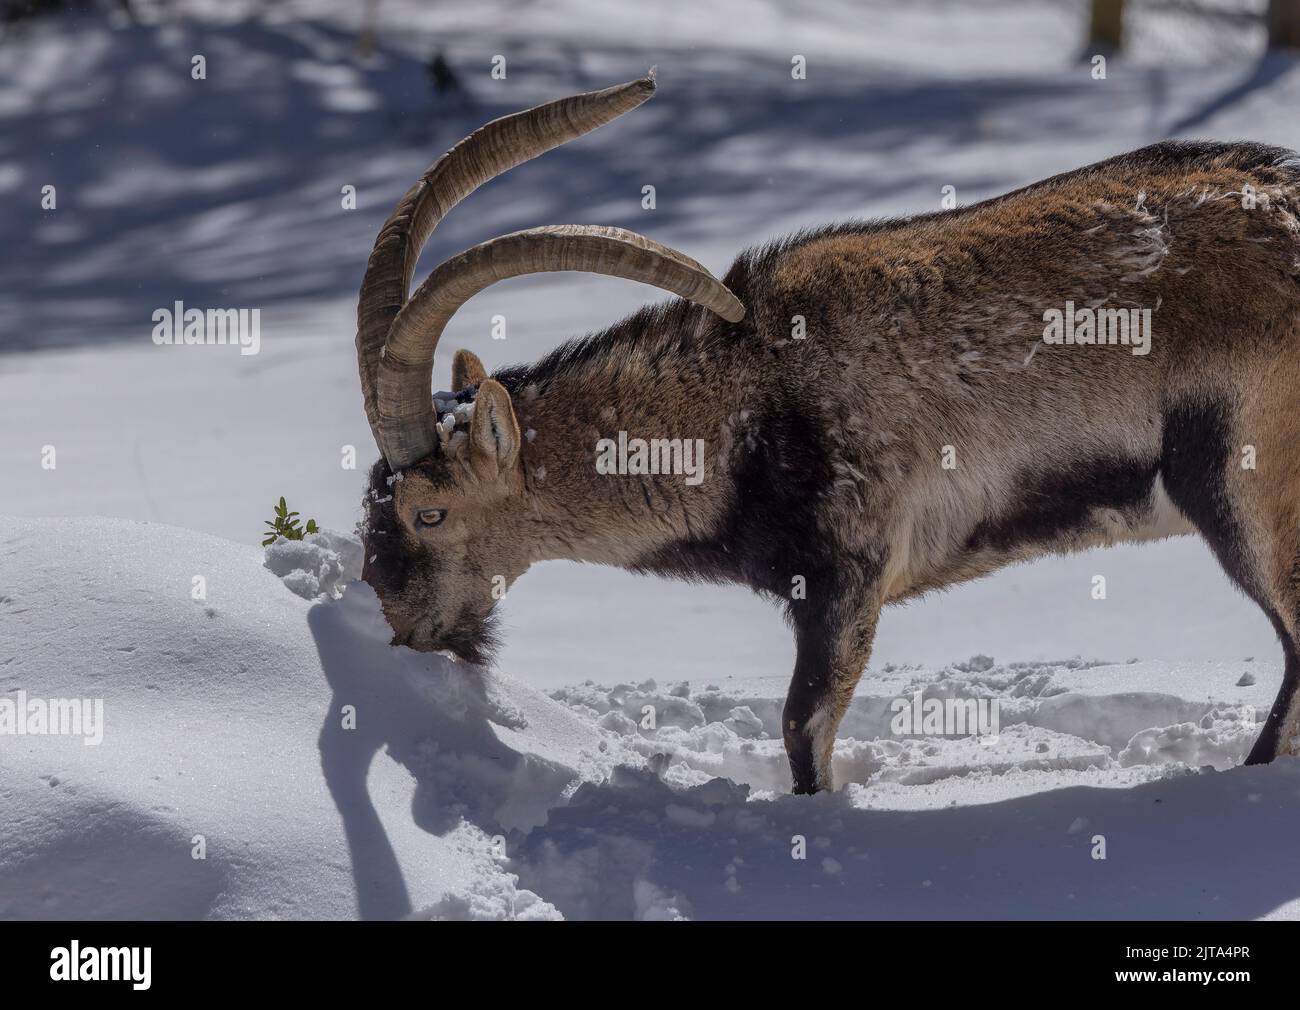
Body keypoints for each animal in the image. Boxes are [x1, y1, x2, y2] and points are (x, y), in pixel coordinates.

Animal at [355, 75, 1300, 794]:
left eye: (429, 511)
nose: (402, 630)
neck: (740, 410)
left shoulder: (850, 571)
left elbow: (803, 729)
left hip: (1245, 486)